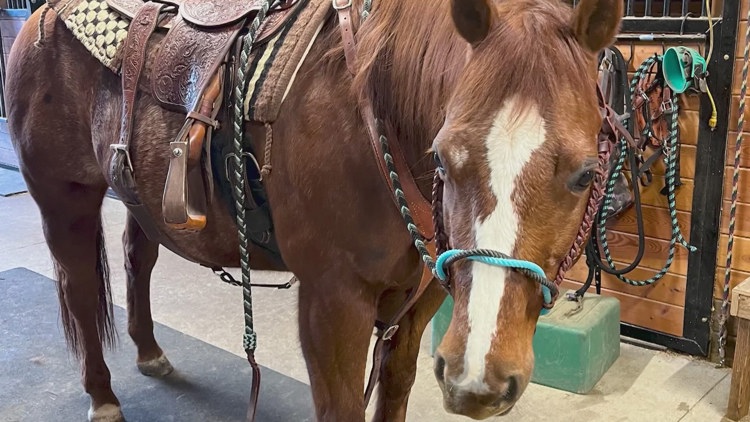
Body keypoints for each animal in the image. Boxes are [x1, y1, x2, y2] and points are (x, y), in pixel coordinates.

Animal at [5, 0, 623, 420]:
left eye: (584, 174)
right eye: (443, 157)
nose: (479, 379)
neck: (374, 117)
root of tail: (43, 15)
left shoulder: (419, 302)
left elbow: (394, 391)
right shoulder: (333, 303)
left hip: (139, 198)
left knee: (138, 260)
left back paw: (151, 353)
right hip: (64, 199)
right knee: (80, 288)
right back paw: (103, 396)